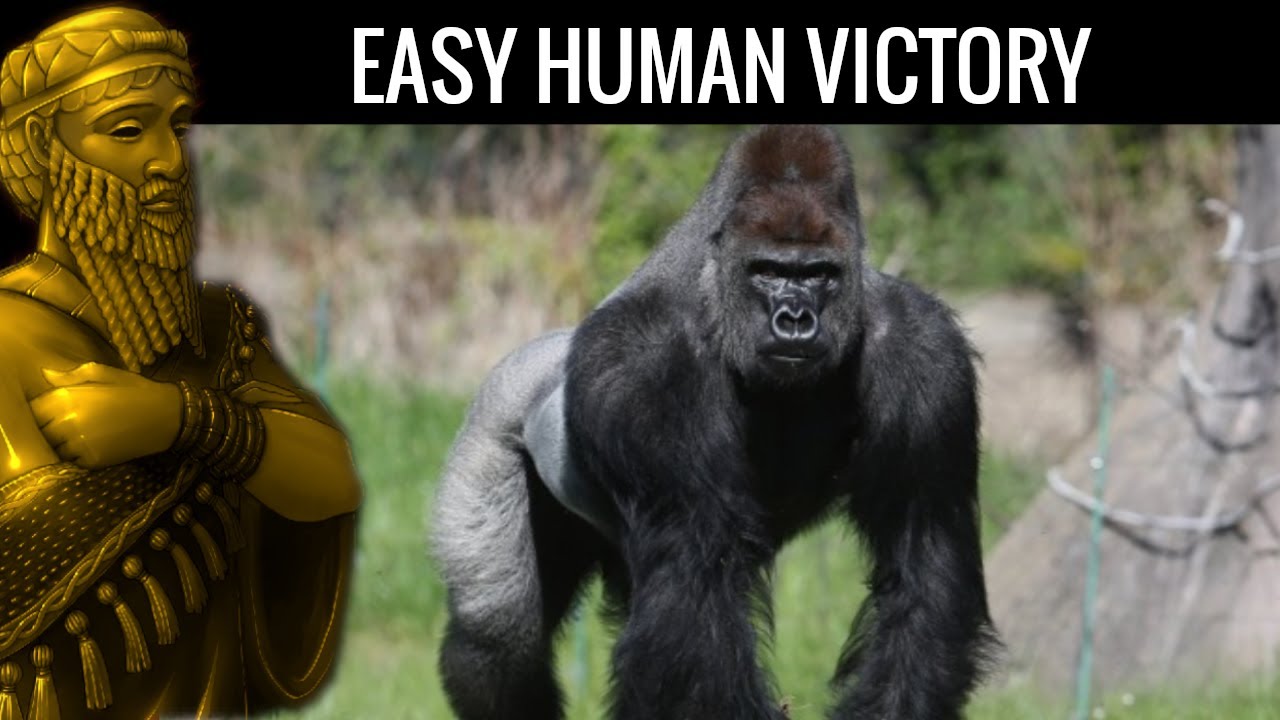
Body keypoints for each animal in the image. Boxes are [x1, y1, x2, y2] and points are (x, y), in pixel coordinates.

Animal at [430, 124, 999, 720]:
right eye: (767, 271)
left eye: (819, 274)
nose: (795, 320)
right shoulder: (641, 360)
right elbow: (696, 581)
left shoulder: (926, 351)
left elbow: (923, 557)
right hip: (495, 419)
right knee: (494, 639)